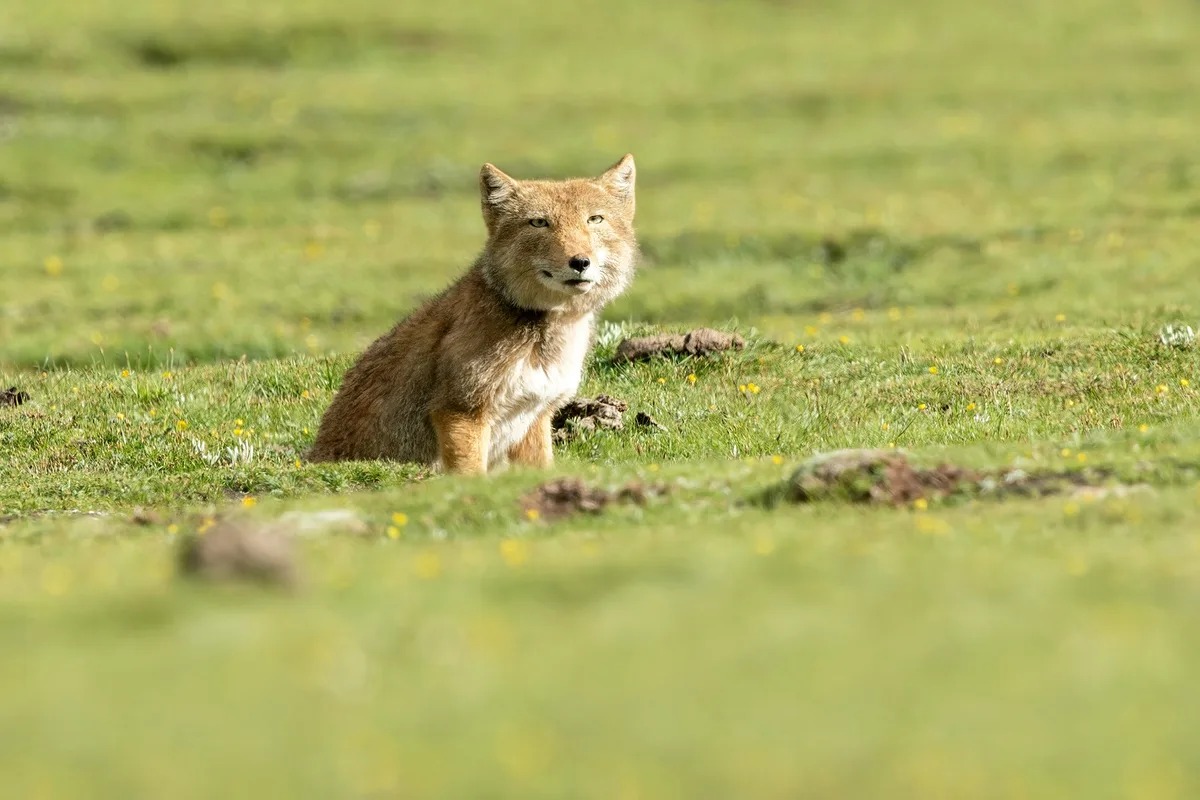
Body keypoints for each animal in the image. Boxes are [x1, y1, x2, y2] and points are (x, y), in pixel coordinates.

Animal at [308, 154, 638, 474]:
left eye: (594, 219)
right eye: (539, 223)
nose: (580, 262)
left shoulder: (534, 415)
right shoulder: (461, 411)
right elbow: (470, 474)